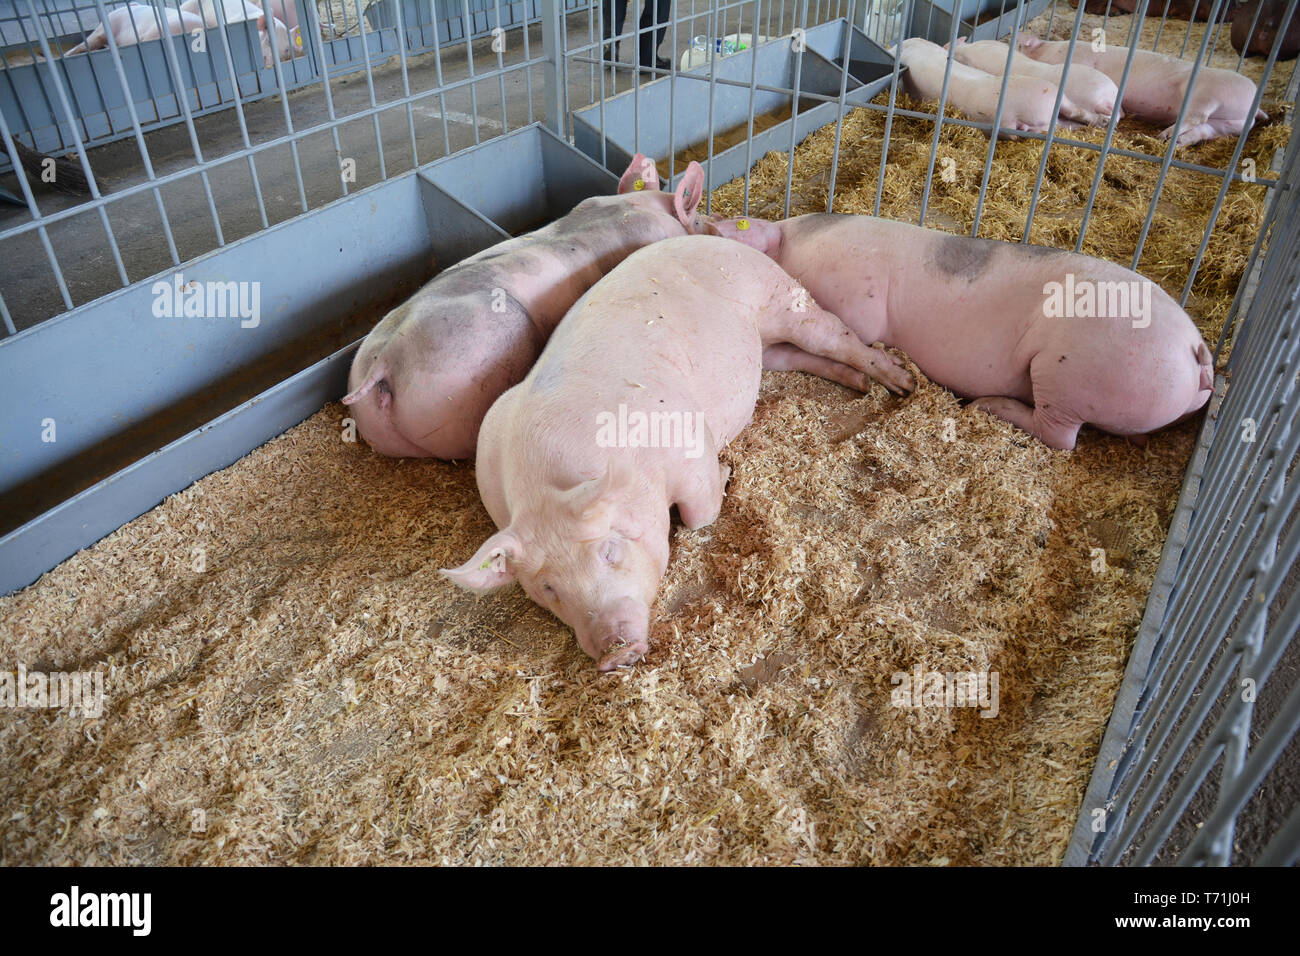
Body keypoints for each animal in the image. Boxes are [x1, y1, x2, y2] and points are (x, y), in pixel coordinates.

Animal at [440, 235, 914, 671]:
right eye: (548, 589)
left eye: (608, 551)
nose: (615, 651)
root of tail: (708, 237)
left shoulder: (690, 450)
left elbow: (699, 514)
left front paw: (728, 473)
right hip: (765, 347)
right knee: (792, 356)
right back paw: (861, 386)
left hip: (782, 297)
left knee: (836, 335)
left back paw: (899, 382)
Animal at [706, 213, 1213, 451]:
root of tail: (1195, 348)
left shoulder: (856, 299)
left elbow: (857, 334)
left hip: (1067, 373)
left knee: (1060, 437)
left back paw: (986, 406)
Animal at [1018, 35, 1267, 146]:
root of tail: (1254, 106)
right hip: (1228, 125)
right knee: (1203, 131)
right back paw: (1173, 141)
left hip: (1207, 94)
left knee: (1196, 117)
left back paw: (1163, 135)